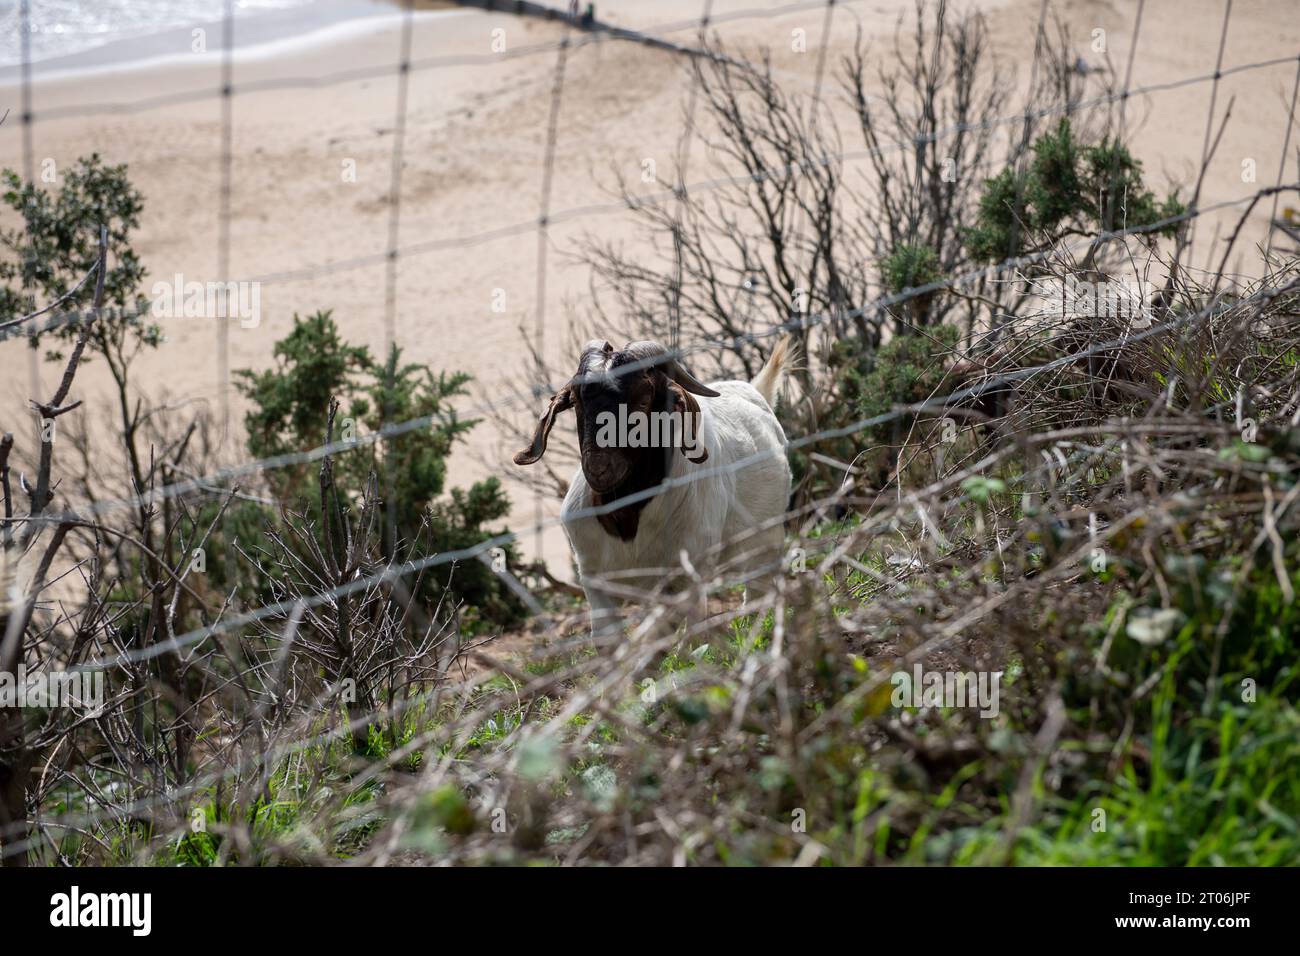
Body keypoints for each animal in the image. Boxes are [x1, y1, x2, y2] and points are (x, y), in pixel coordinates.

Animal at [515, 337, 793, 638]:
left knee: (756, 592)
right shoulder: (594, 579)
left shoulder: (683, 576)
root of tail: (755, 392)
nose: (598, 467)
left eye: (643, 400)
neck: (628, 517)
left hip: (765, 542)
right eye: (576, 401)